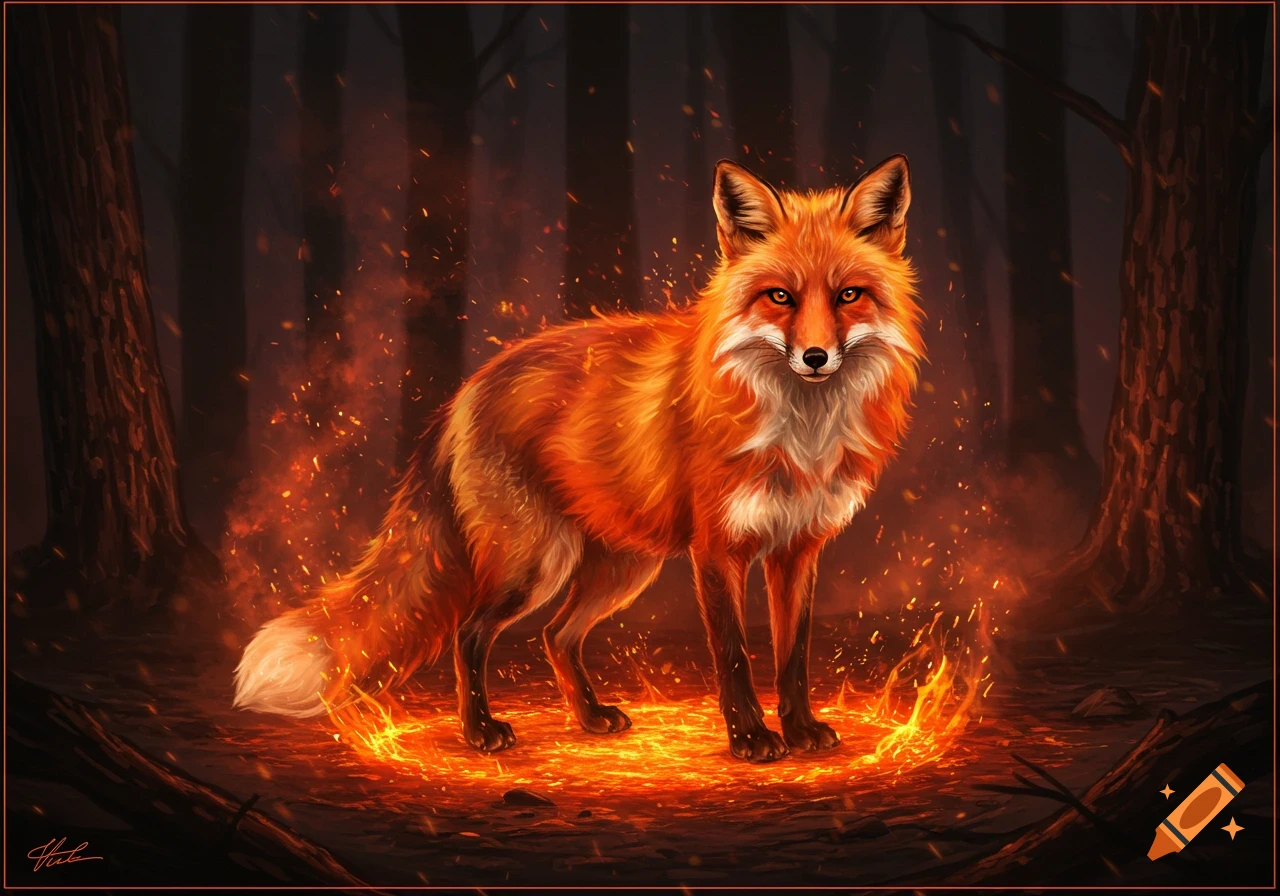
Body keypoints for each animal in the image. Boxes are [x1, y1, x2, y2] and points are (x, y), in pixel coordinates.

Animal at [233, 155, 924, 762]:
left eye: (849, 295)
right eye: (780, 297)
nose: (815, 357)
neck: (799, 433)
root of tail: (466, 388)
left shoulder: (797, 550)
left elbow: (793, 657)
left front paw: (801, 730)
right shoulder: (718, 549)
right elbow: (733, 656)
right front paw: (752, 740)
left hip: (622, 566)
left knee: (555, 635)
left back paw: (589, 717)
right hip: (537, 563)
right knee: (470, 632)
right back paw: (480, 731)